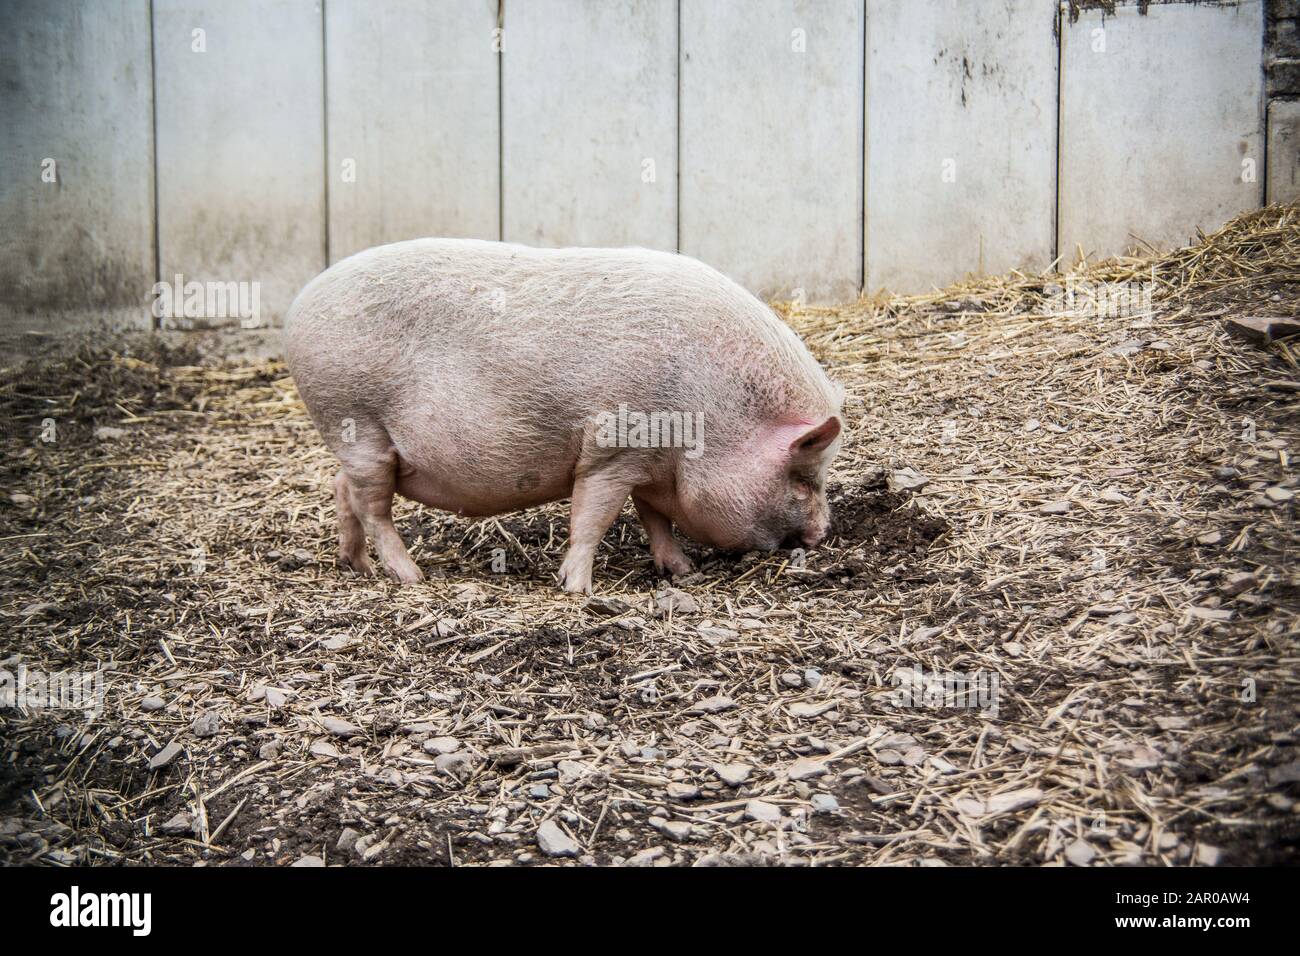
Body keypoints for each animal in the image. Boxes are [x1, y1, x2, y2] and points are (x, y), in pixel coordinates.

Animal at [284, 239, 844, 593]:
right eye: (802, 479)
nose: (823, 534)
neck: (711, 412)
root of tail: (301, 302)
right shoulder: (614, 448)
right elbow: (592, 516)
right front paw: (578, 589)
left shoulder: (650, 465)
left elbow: (655, 519)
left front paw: (683, 572)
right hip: (354, 419)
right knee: (372, 506)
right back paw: (411, 576)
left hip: (360, 441)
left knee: (341, 488)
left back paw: (355, 566)